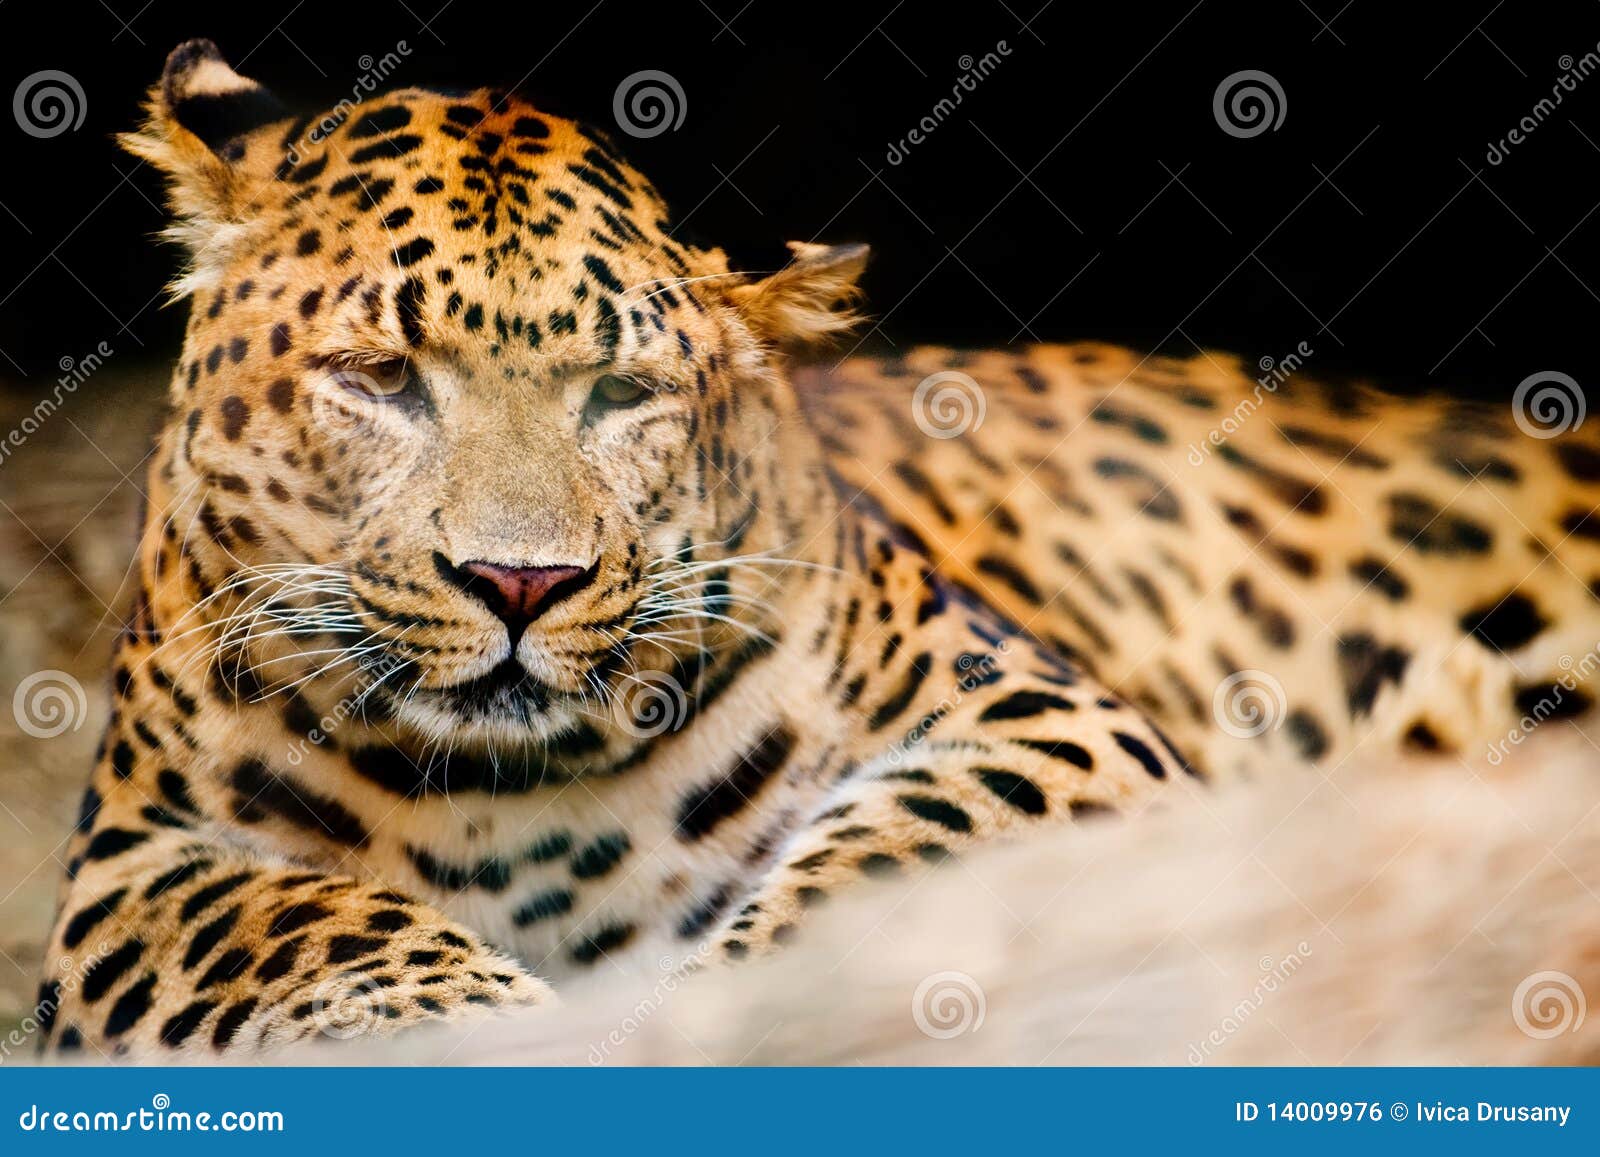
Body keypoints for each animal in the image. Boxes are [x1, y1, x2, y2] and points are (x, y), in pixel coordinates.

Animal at [37, 38, 1600, 1058]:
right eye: (378, 376)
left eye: (622, 395)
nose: (521, 584)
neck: (495, 795)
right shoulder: (133, 865)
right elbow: (295, 923)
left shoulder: (1040, 707)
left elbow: (895, 853)